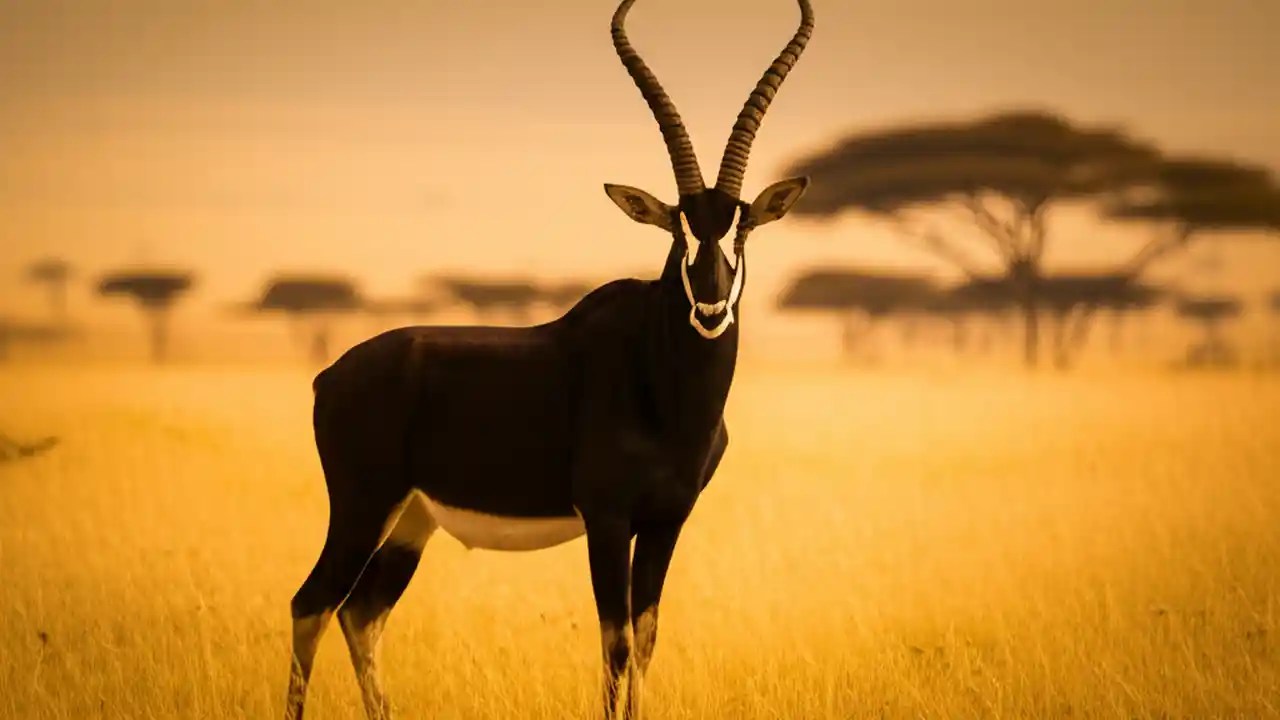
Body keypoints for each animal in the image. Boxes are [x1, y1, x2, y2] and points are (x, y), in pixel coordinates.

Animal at [283, 0, 814, 717]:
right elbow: (616, 641)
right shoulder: (608, 520)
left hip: (410, 521)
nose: (709, 309)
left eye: (743, 228)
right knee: (311, 605)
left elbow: (646, 637)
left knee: (360, 614)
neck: (664, 389)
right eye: (679, 230)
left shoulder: (666, 521)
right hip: (363, 507)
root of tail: (330, 377)